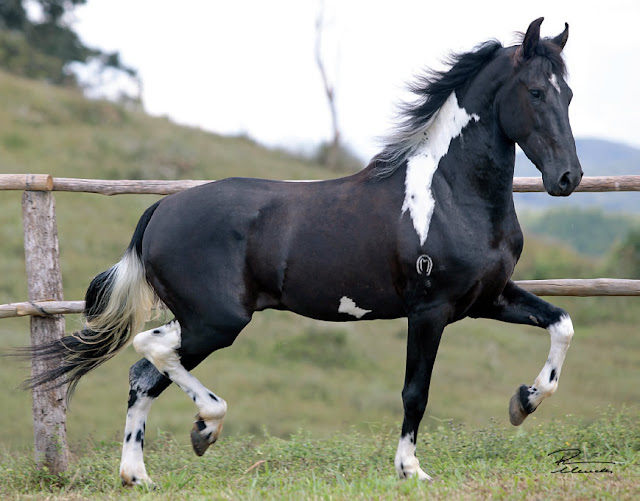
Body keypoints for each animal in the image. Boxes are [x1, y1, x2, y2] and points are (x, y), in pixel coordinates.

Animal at [26, 17, 582, 485]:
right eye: (535, 91)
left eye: (570, 94)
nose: (567, 178)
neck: (447, 194)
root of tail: (160, 210)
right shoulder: (430, 309)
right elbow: (415, 393)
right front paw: (410, 470)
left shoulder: (486, 298)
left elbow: (562, 324)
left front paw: (524, 402)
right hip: (215, 320)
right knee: (151, 350)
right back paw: (205, 428)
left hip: (202, 321)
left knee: (143, 374)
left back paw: (139, 476)